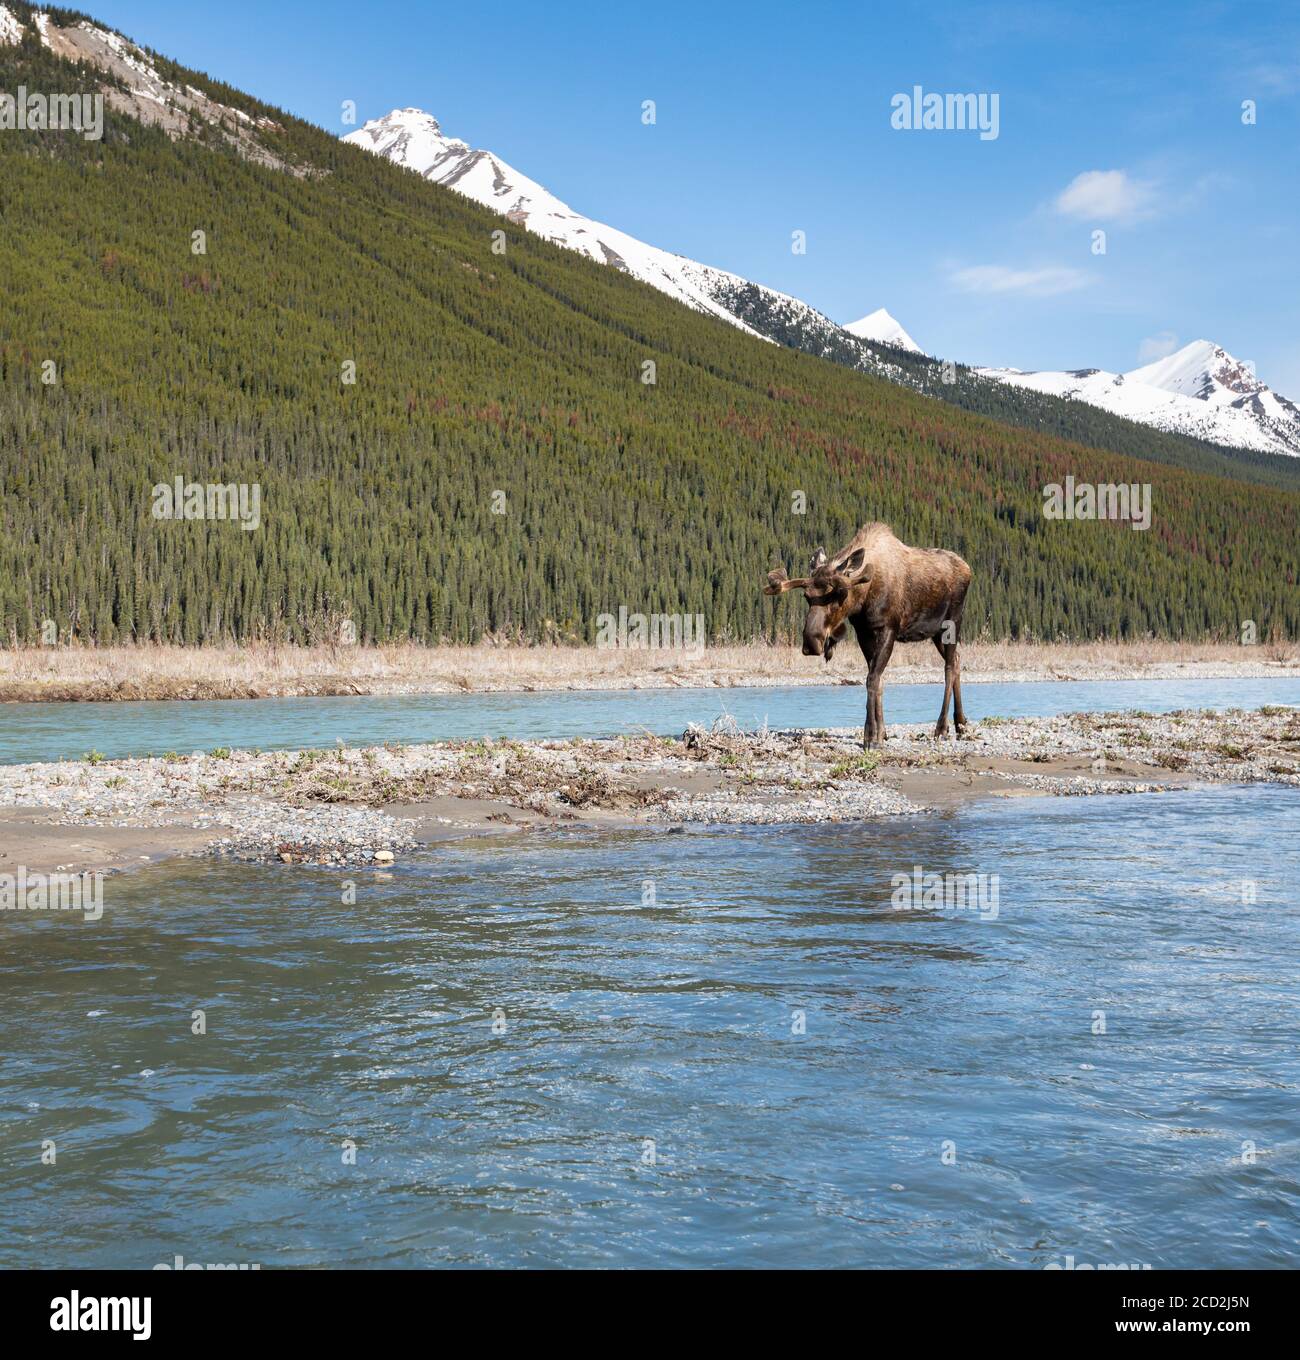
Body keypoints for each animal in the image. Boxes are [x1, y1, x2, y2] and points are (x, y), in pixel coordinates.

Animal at [764, 522, 972, 749]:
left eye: (840, 594)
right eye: (806, 596)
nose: (812, 642)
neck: (864, 599)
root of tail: (968, 569)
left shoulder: (888, 629)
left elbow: (872, 679)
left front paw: (871, 736)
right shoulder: (864, 633)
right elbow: (877, 679)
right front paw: (881, 732)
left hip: (953, 622)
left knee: (949, 667)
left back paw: (942, 727)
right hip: (935, 632)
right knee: (957, 659)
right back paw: (961, 724)